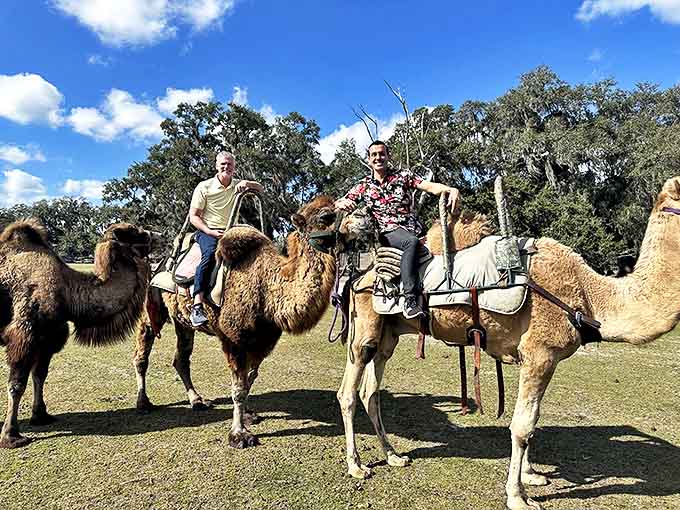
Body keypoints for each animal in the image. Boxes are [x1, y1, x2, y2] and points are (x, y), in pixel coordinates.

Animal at [0, 220, 153, 448]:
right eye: (133, 231)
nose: (157, 235)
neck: (69, 294)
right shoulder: (25, 335)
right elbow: (17, 385)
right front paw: (12, 436)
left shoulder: (49, 337)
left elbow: (40, 375)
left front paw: (41, 416)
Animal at [134, 195, 339, 448]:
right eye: (326, 216)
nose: (363, 222)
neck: (266, 287)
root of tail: (159, 263)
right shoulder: (234, 338)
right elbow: (239, 388)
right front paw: (239, 434)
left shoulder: (264, 340)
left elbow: (250, 379)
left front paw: (249, 415)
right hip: (150, 311)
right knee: (142, 353)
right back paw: (143, 403)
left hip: (183, 321)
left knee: (181, 358)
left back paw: (197, 400)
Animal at [337, 176, 680, 510]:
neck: (589, 297)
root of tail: (361, 274)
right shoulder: (541, 355)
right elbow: (523, 425)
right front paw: (518, 497)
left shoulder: (533, 358)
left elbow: (532, 419)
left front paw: (531, 475)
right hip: (365, 327)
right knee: (348, 392)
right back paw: (357, 466)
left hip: (389, 335)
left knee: (370, 391)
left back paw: (394, 455)